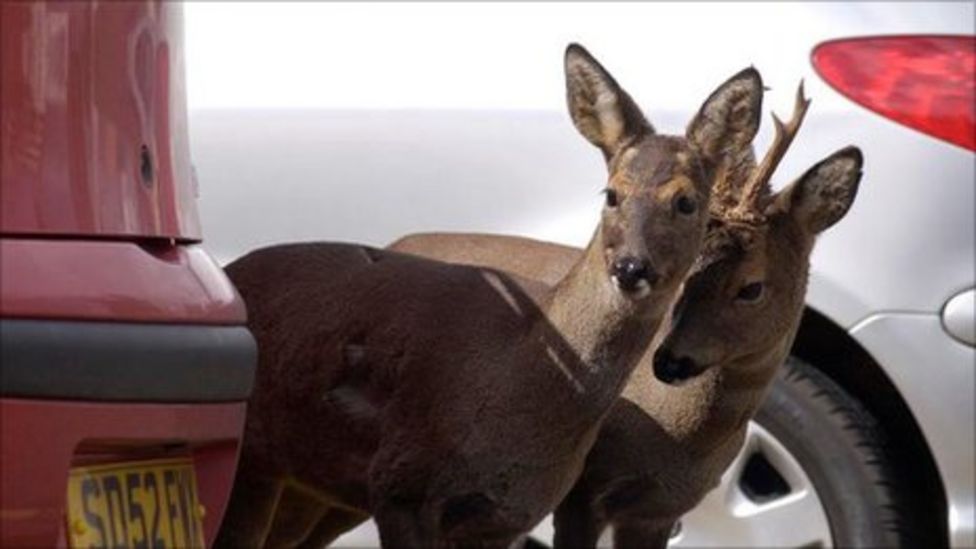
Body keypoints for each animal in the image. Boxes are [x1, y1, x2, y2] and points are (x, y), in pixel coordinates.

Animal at [214, 43, 764, 548]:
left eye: (686, 202)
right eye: (612, 194)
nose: (631, 267)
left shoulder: (507, 516)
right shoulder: (401, 484)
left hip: (309, 483)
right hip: (257, 457)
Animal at [389, 85, 864, 547]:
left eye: (752, 287)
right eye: (688, 274)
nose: (669, 361)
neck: (684, 441)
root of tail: (397, 242)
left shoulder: (660, 507)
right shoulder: (585, 489)